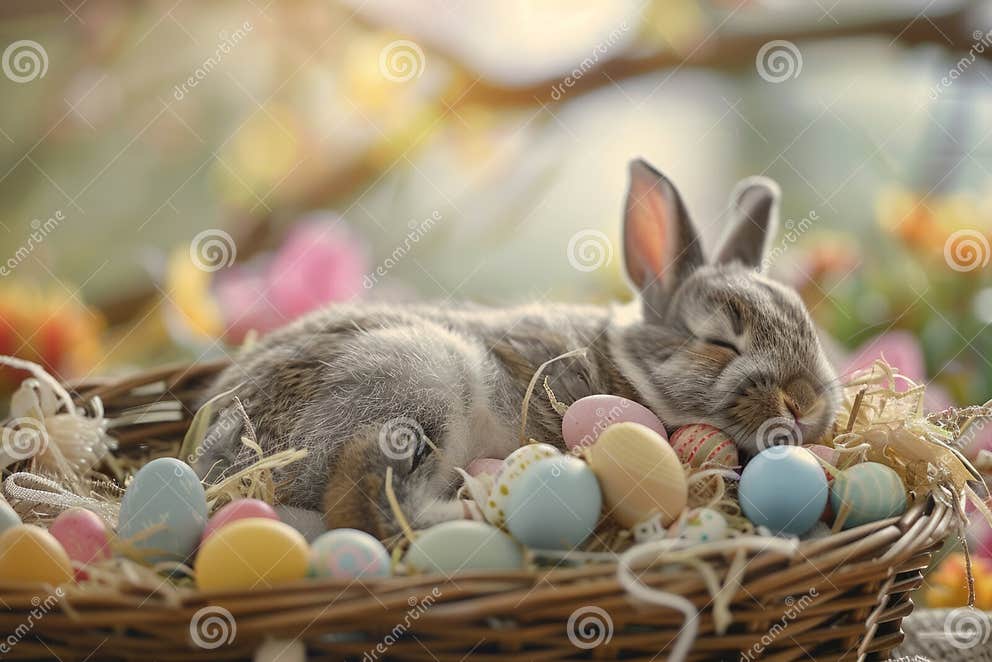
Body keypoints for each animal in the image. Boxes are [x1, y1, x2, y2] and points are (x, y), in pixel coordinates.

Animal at [193, 159, 840, 540]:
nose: (805, 400)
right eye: (718, 341)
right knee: (373, 503)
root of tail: (216, 465)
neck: (633, 371)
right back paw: (474, 510)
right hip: (415, 383)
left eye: (805, 322)